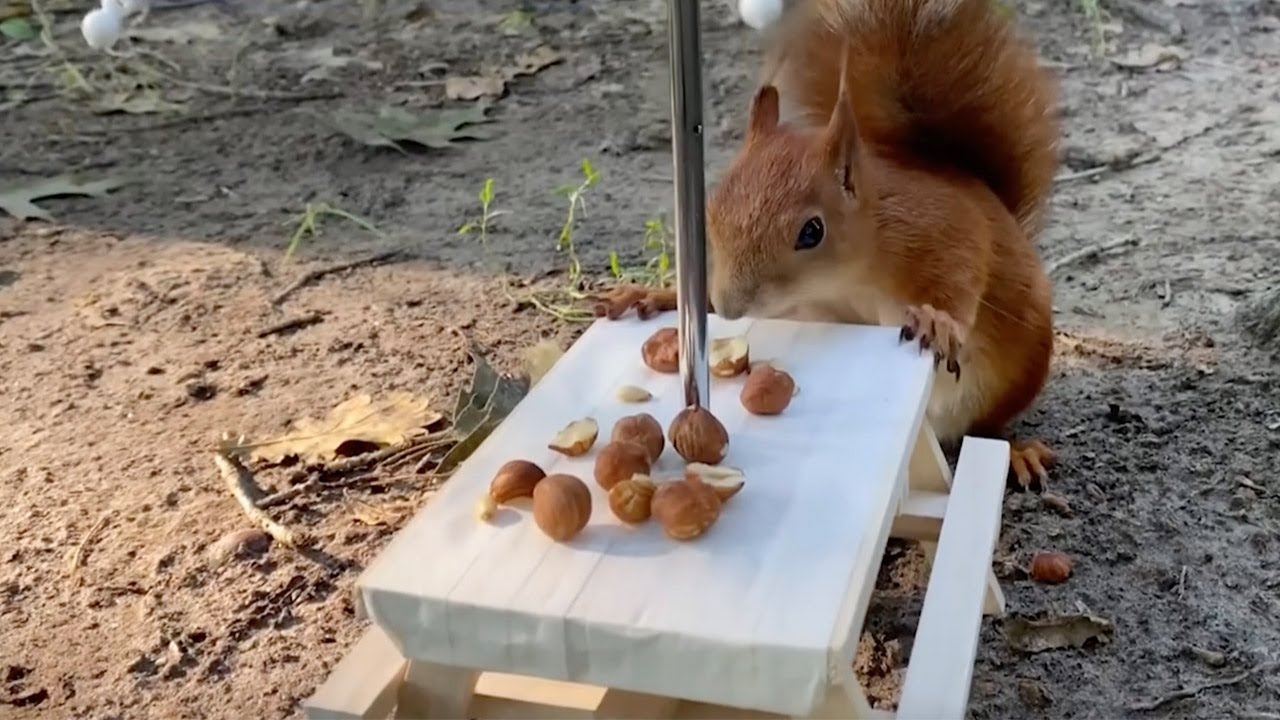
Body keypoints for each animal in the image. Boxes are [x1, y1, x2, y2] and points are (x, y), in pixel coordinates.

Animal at [593, 0, 1059, 489]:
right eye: (712, 210)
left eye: (811, 232)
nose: (729, 308)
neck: (847, 276)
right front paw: (657, 295)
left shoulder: (946, 232)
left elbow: (959, 281)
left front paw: (936, 321)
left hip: (1014, 378)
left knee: (990, 429)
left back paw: (1019, 451)